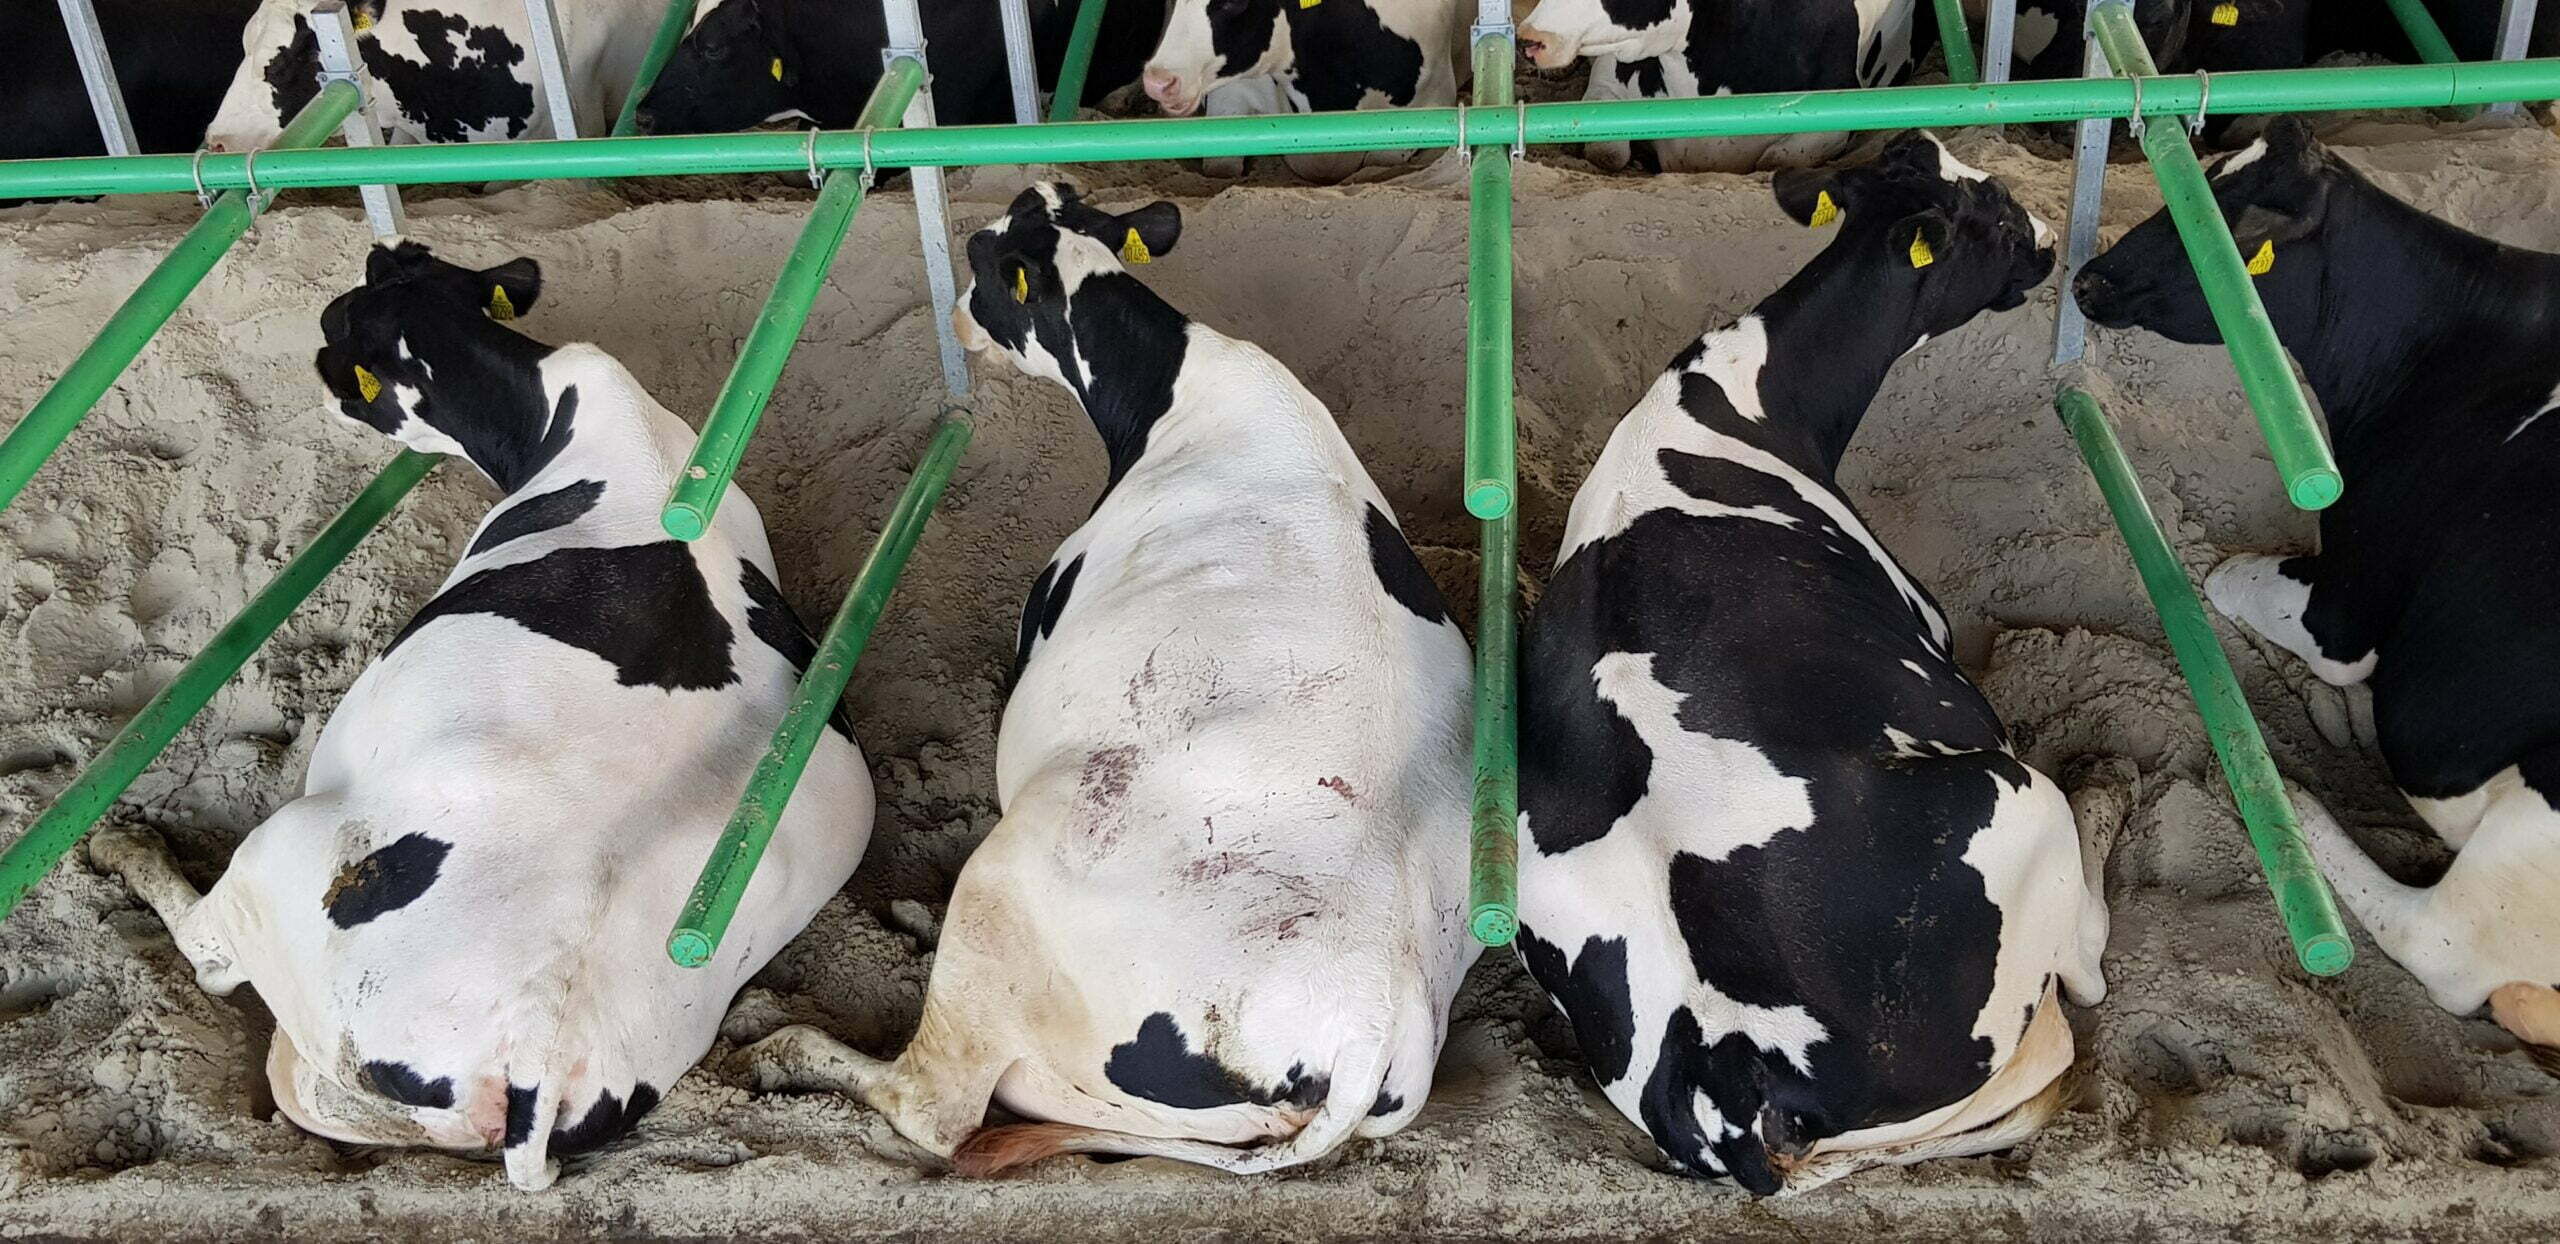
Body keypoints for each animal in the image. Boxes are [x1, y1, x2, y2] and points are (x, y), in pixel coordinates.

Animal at [86, 241, 875, 1190]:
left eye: (341, 327)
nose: (371, 253)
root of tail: (540, 1039)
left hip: (282, 856)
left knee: (210, 950)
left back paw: (125, 846)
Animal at [733, 182, 1478, 1174]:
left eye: (983, 264)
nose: (959, 317)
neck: (1178, 393)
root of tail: (1368, 1028)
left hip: (1004, 889)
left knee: (933, 1104)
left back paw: (784, 1046)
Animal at [1141, 0, 1470, 182]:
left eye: (1233, 2)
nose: (1158, 81)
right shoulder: (1232, 95)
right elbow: (1220, 168)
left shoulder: (1428, 105)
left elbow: (1379, 163)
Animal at [1516, 133, 2104, 1195]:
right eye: (1994, 215)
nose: (2050, 238)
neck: (1755, 400)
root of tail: (1739, 1074)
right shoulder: (1930, 620)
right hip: (2023, 802)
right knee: (2084, 969)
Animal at [2074, 116, 2560, 1073]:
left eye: (2216, 230)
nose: (2086, 278)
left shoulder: (2347, 604)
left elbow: (2227, 579)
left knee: (2440, 945)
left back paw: (2302, 812)